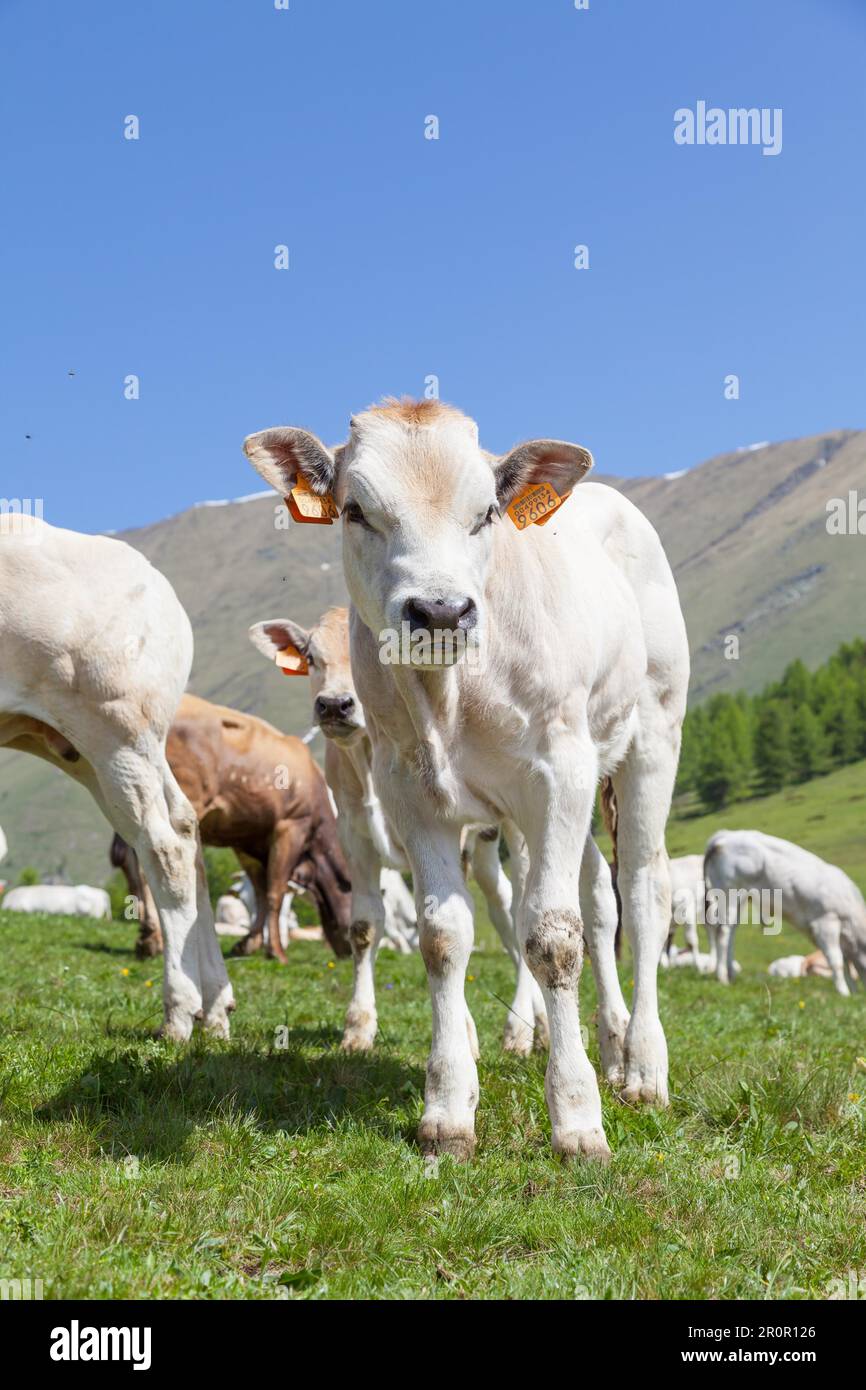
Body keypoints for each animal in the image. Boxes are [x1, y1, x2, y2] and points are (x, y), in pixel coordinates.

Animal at [0, 513, 234, 1040]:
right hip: (103, 749)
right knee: (186, 828)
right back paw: (216, 1006)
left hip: (116, 732)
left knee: (165, 848)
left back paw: (179, 1012)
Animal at [110, 694, 352, 963]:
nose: (346, 951)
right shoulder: (291, 827)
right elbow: (275, 891)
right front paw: (275, 951)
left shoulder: (247, 839)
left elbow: (259, 891)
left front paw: (249, 943)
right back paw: (157, 938)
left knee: (126, 857)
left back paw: (146, 937)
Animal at [249, 605, 546, 1052]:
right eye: (312, 658)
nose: (334, 705)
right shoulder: (353, 835)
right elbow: (364, 926)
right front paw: (358, 1027)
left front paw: (465, 1032)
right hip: (486, 845)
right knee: (503, 910)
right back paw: (539, 1021)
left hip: (516, 826)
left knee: (519, 908)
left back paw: (518, 1030)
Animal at [704, 830, 866, 994]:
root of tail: (726, 835)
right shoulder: (825, 922)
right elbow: (836, 960)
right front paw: (844, 992)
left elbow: (846, 963)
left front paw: (853, 992)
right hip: (729, 894)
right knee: (723, 932)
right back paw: (723, 977)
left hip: (740, 900)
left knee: (731, 932)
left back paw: (731, 974)